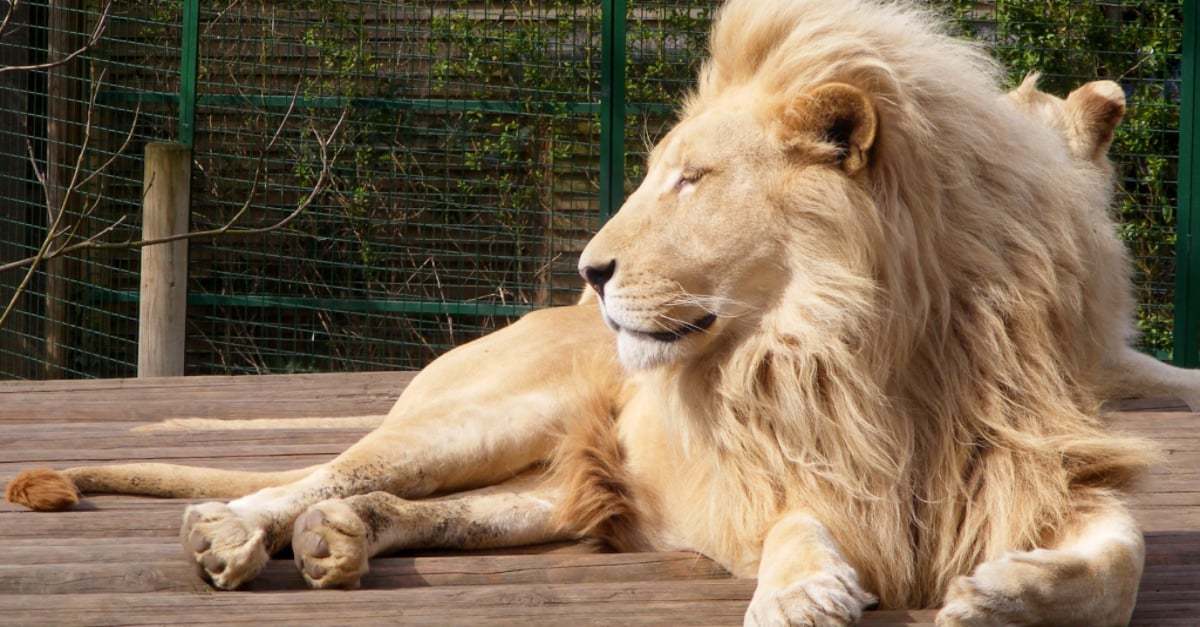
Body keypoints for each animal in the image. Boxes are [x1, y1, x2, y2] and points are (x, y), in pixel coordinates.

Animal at [5, 0, 1165, 624]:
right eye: (660, 173)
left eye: (694, 180)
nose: (590, 269)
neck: (864, 345)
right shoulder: (773, 477)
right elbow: (799, 520)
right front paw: (801, 590)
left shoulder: (1052, 466)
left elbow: (1122, 557)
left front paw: (1008, 591)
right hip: (486, 416)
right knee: (312, 475)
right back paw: (231, 536)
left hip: (557, 487)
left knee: (407, 507)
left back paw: (341, 544)